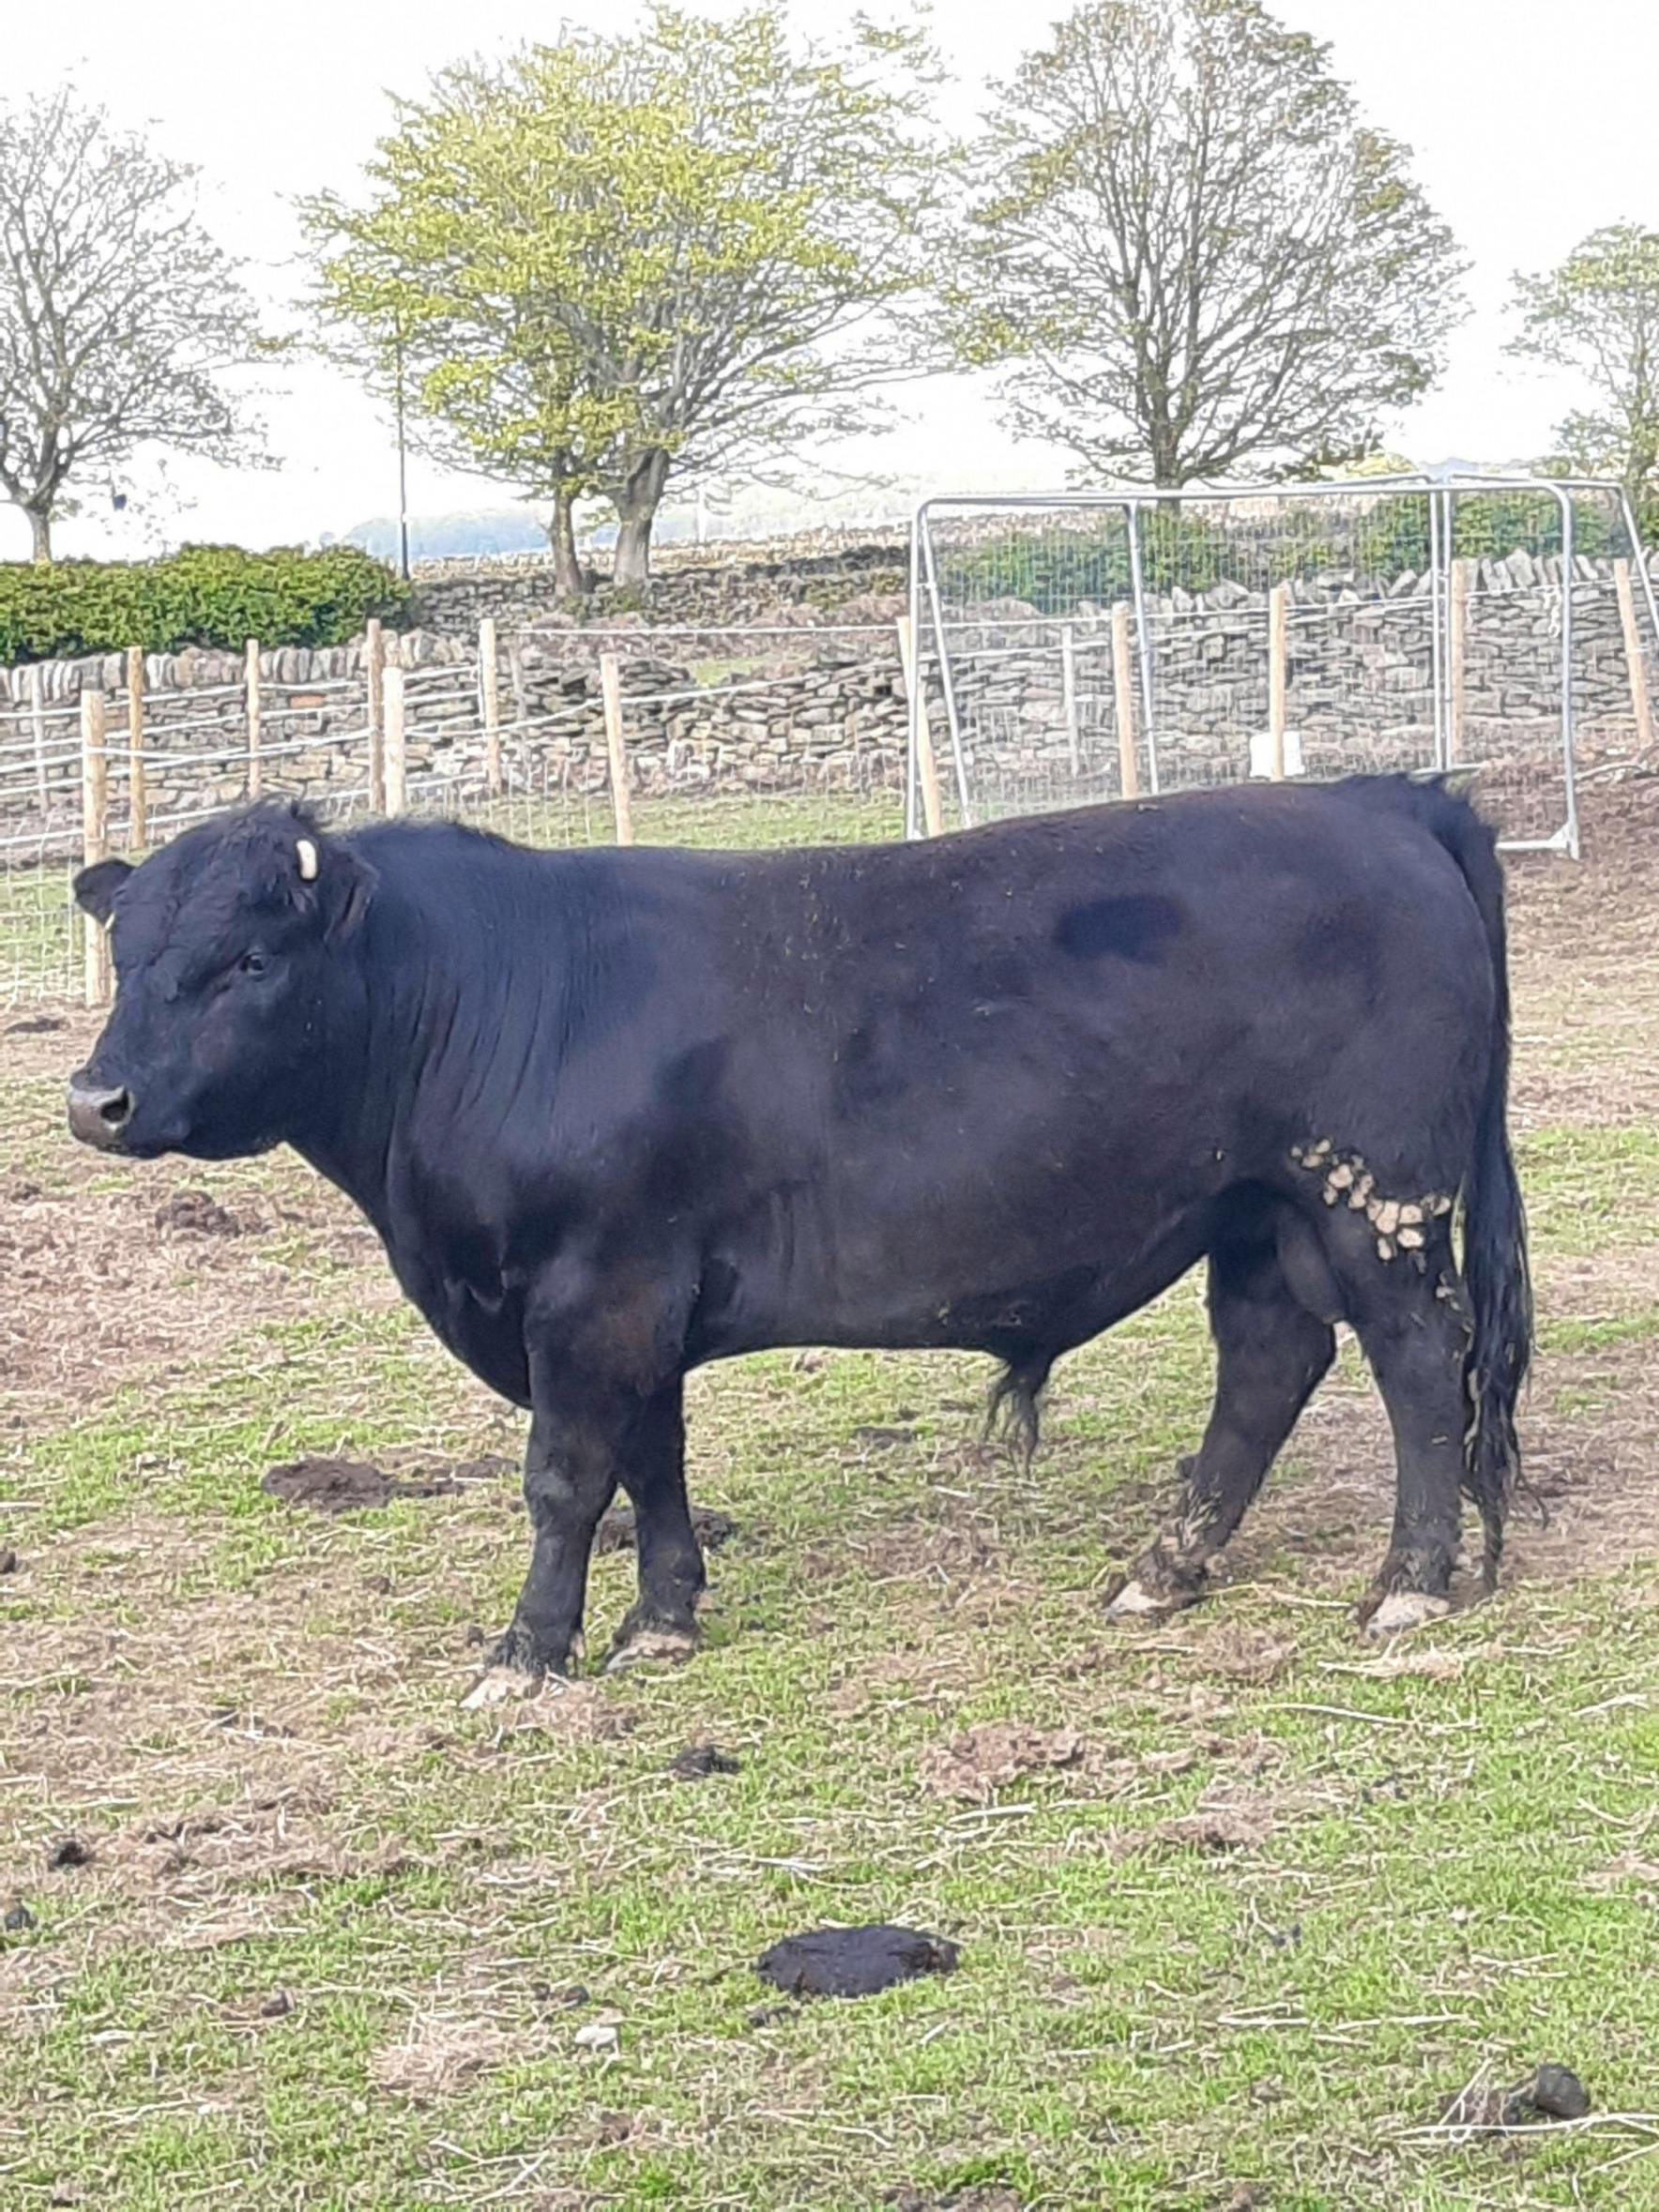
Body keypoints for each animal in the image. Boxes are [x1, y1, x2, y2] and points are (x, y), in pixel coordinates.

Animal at [66, 776, 1530, 1700]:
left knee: (1417, 1361)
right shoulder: (637, 1305)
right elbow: (650, 1462)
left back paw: (1407, 1581)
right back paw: (1164, 1570)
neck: (498, 997)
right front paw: (662, 1619)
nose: (96, 1100)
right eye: (127, 955)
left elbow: (565, 1479)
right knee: (1268, 1366)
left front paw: (527, 1652)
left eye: (249, 961)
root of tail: (1373, 797)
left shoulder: (590, 1296)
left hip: (1373, 1198)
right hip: (1257, 1210)